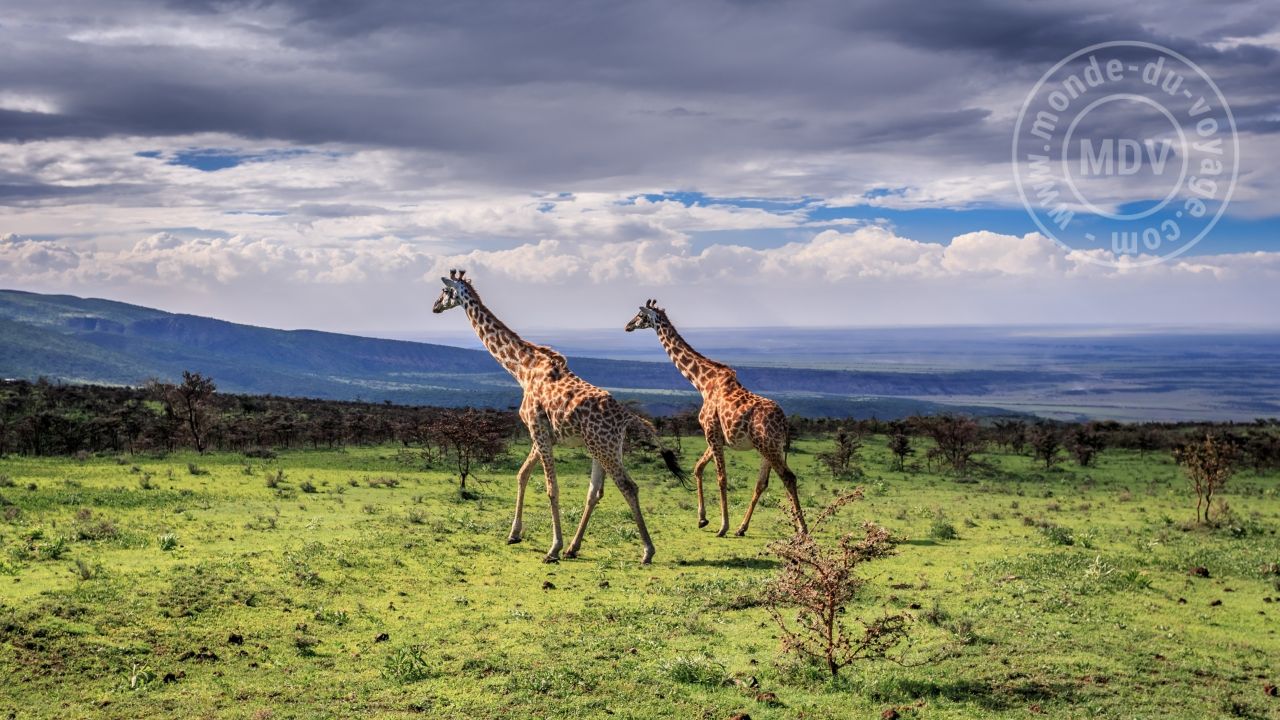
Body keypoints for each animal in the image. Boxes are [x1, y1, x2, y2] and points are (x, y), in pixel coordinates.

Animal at [432, 269, 691, 561]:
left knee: (628, 486)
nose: (435, 307)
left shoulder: (537, 429)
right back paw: (573, 547)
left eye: (444, 291)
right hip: (603, 447)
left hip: (604, 448)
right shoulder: (543, 434)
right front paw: (514, 534)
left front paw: (552, 548)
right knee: (595, 492)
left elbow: (551, 488)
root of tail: (626, 416)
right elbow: (522, 475)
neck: (522, 369)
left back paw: (646, 551)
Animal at [622, 295, 803, 532]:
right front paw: (702, 518)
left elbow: (721, 477)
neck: (702, 383)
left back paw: (803, 530)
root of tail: (785, 423)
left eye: (640, 315)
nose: (627, 325)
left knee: (788, 477)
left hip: (768, 446)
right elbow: (698, 468)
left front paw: (722, 526)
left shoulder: (711, 432)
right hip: (770, 447)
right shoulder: (715, 436)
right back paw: (742, 528)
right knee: (762, 483)